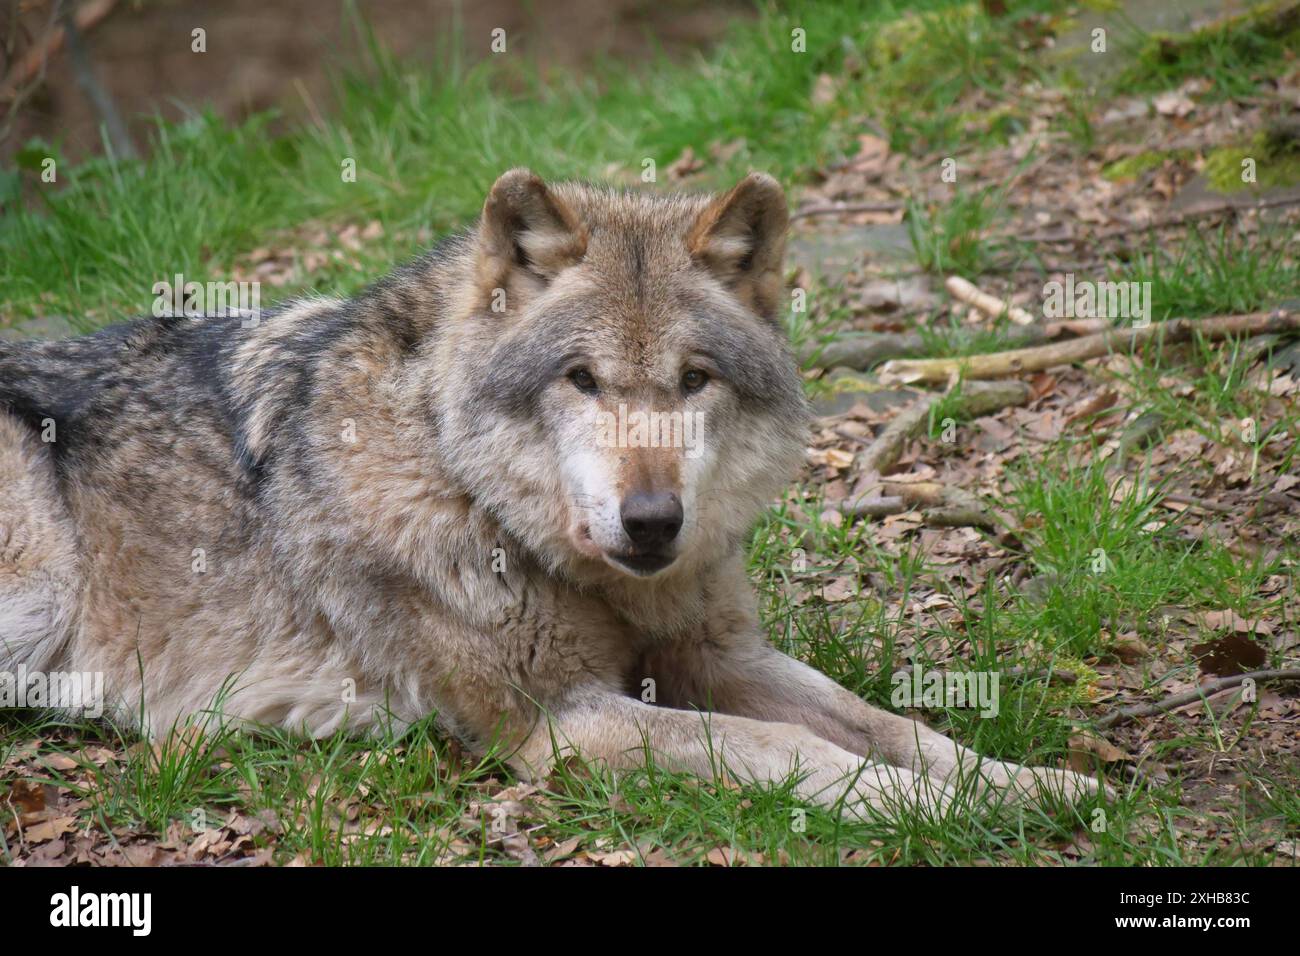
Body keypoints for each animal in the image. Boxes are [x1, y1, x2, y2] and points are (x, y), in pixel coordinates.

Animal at [0, 169, 1099, 818]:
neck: (466, 489)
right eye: (582, 379)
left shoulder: (718, 652)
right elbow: (790, 746)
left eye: (693, 380)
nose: (652, 522)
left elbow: (893, 724)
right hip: (43, 587)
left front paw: (1031, 783)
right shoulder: (557, 723)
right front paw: (937, 811)